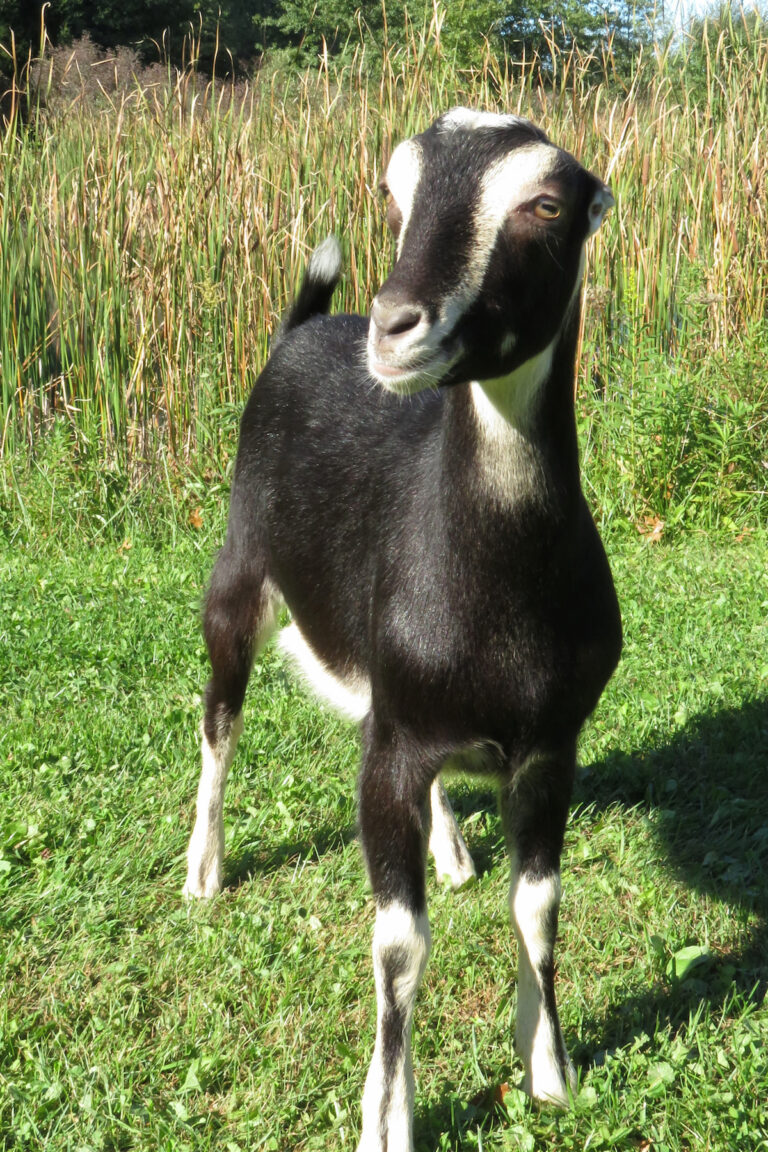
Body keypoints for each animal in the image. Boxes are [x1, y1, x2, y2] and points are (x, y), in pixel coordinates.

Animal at [183, 107, 622, 1150]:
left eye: (546, 206)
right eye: (395, 193)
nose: (394, 326)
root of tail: (308, 328)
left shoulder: (551, 747)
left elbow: (539, 907)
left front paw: (549, 1069)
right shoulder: (394, 752)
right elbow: (398, 946)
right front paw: (388, 1114)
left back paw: (452, 850)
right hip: (239, 570)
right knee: (219, 719)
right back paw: (203, 869)